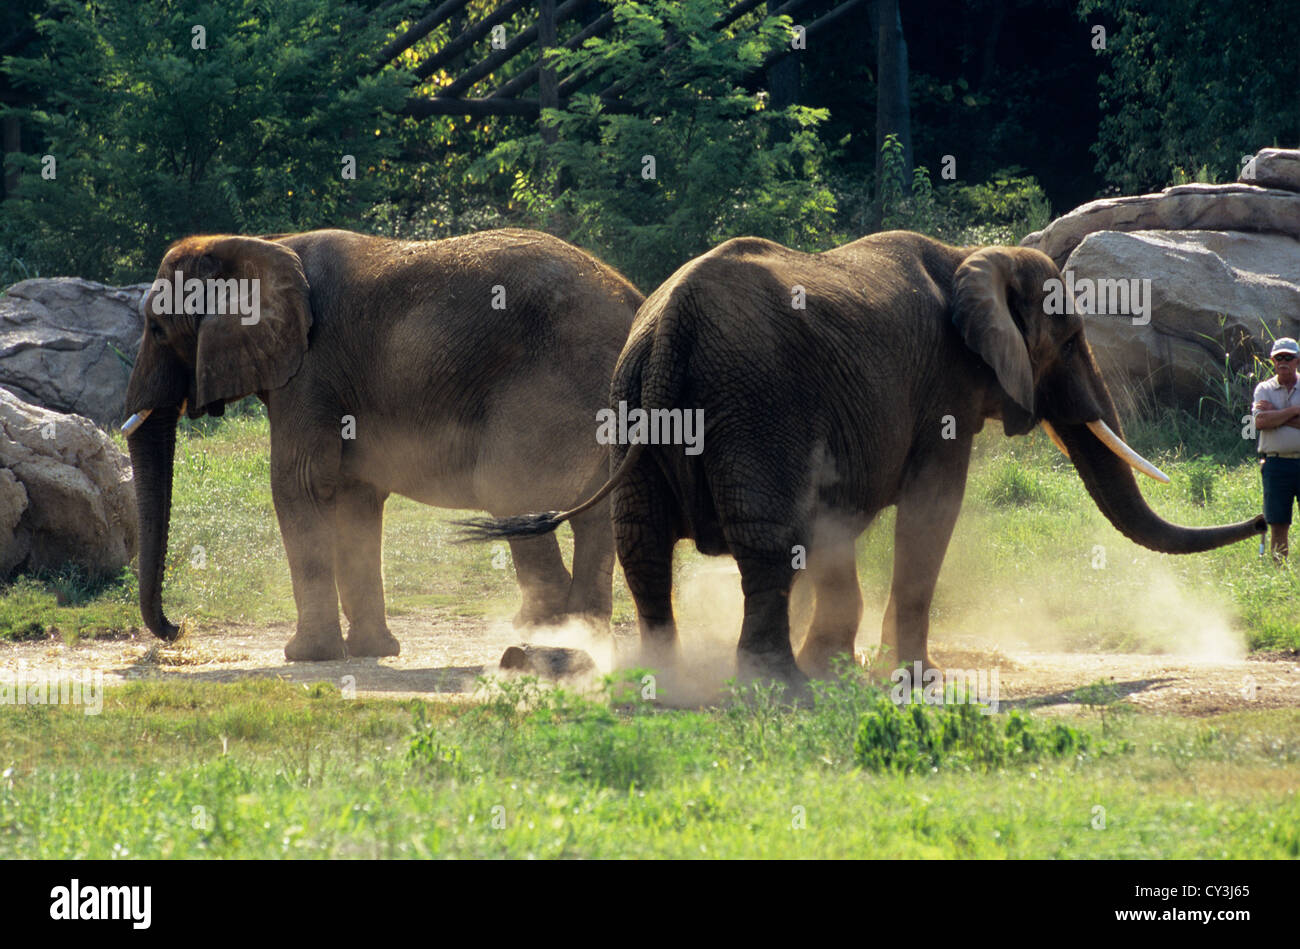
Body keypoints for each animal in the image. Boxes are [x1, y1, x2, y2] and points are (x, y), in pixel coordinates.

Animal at [123, 228, 642, 661]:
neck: (257, 243)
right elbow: (356, 497)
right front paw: (372, 651)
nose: (178, 629)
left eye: (157, 329)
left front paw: (307, 657)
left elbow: (299, 485)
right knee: (595, 515)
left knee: (511, 492)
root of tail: (634, 299)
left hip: (552, 383)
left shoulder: (311, 370)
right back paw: (581, 640)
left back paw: (542, 637)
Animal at [462, 231, 1266, 688]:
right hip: (755, 407)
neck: (973, 255)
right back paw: (775, 685)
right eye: (1068, 340)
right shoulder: (940, 385)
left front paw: (842, 665)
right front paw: (909, 676)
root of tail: (667, 332)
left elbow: (837, 524)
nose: (1265, 520)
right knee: (765, 541)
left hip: (637, 410)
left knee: (645, 544)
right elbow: (931, 507)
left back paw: (663, 678)